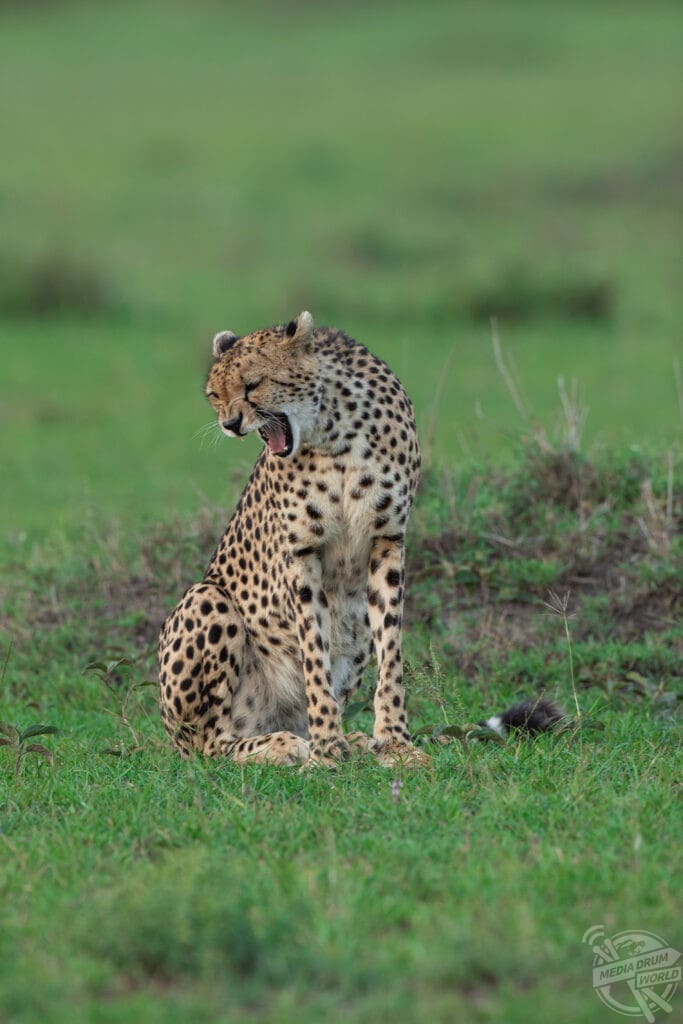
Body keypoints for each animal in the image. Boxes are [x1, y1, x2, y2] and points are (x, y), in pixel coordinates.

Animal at [157, 310, 431, 768]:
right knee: (210, 746)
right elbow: (314, 652)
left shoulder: (387, 540)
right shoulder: (302, 553)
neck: (334, 430)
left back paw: (351, 740)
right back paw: (282, 744)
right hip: (206, 598)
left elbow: (390, 650)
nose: (230, 424)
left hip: (355, 629)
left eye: (253, 384)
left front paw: (394, 742)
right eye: (215, 394)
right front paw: (327, 748)